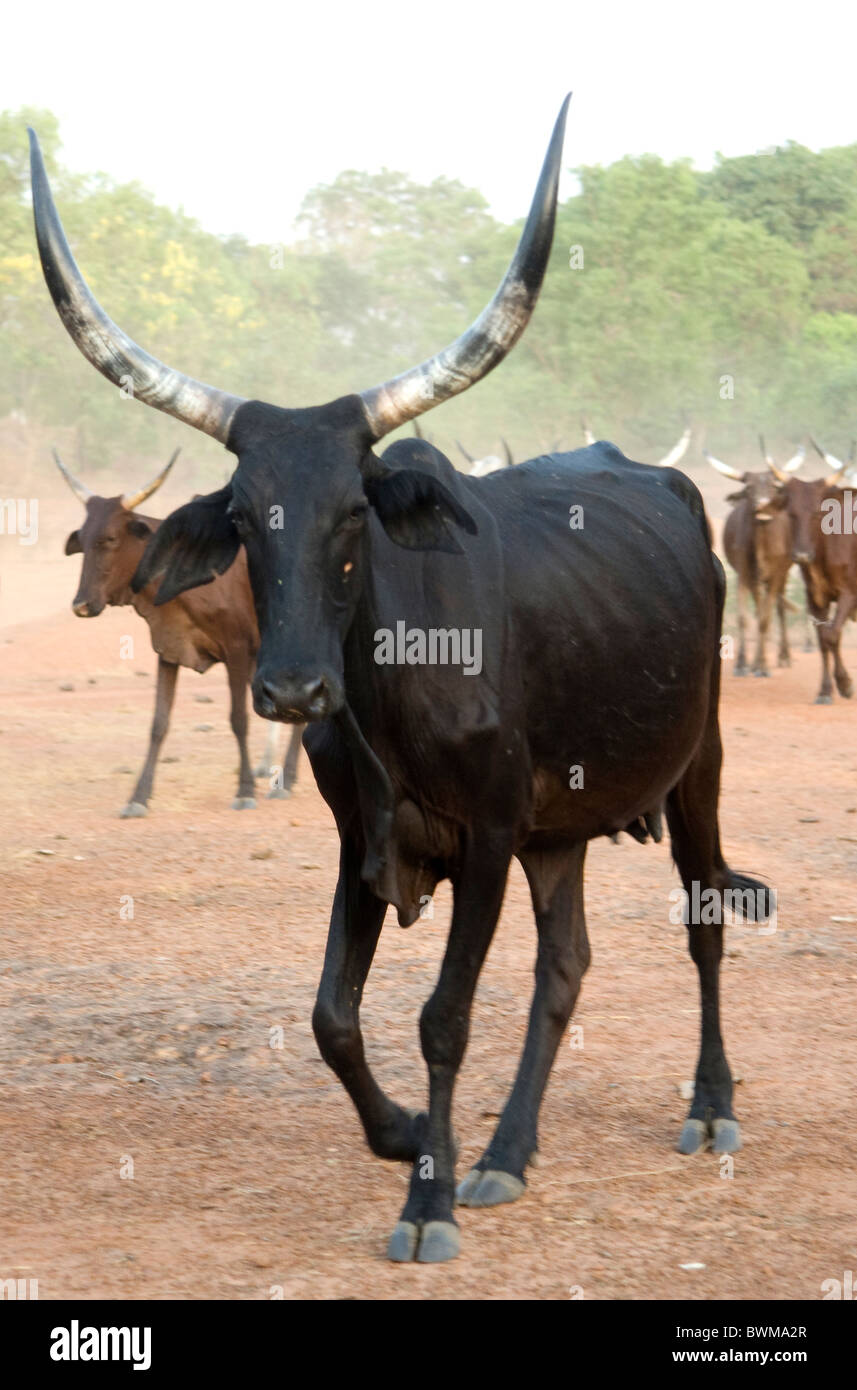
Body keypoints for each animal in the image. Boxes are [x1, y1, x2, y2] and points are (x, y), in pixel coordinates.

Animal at [54, 450, 303, 815]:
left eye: (111, 538)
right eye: (82, 540)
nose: (81, 605)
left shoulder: (237, 650)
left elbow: (238, 719)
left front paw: (244, 790)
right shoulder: (168, 651)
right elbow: (159, 724)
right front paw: (138, 797)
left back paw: (287, 776)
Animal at [705, 439, 805, 676]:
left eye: (772, 487)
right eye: (749, 489)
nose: (763, 507)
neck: (762, 548)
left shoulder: (776, 575)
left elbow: (765, 619)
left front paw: (763, 666)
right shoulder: (744, 574)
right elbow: (745, 618)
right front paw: (743, 664)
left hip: (782, 576)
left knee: (777, 608)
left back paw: (782, 656)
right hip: (755, 580)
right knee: (760, 609)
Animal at [767, 440, 856, 703]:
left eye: (819, 512)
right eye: (791, 513)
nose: (802, 556)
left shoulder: (849, 594)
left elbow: (832, 635)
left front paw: (845, 684)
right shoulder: (815, 598)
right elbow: (824, 640)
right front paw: (826, 690)